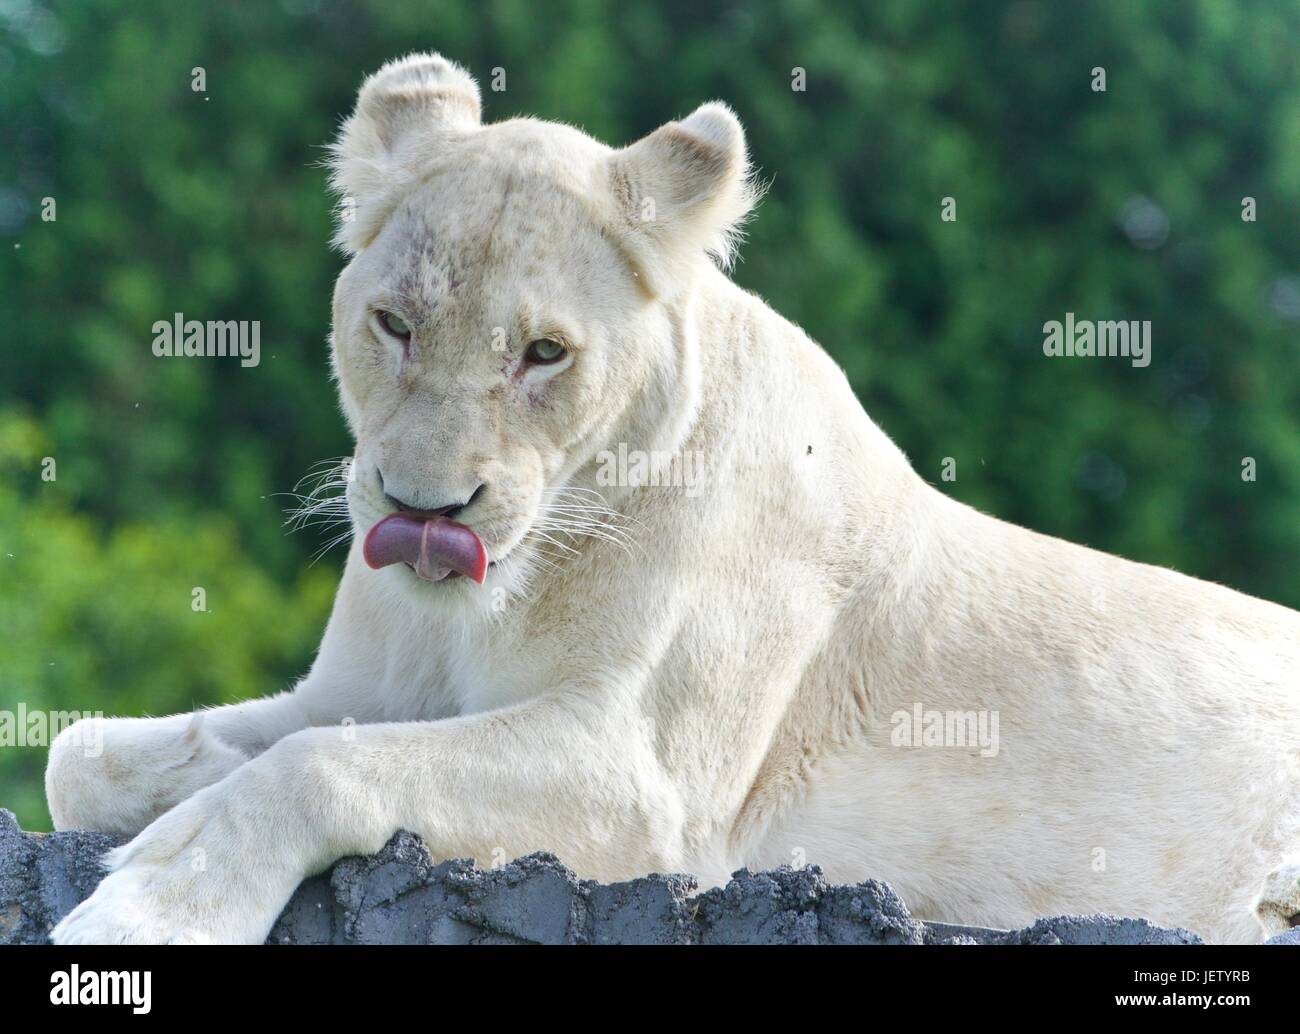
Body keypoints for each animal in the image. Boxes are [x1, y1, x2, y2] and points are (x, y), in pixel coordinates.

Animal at [46, 53, 1300, 944]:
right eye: (393, 323)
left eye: (543, 353)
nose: (423, 508)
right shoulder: (354, 690)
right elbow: (83, 754)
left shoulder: (644, 785)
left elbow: (321, 765)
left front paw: (153, 905)